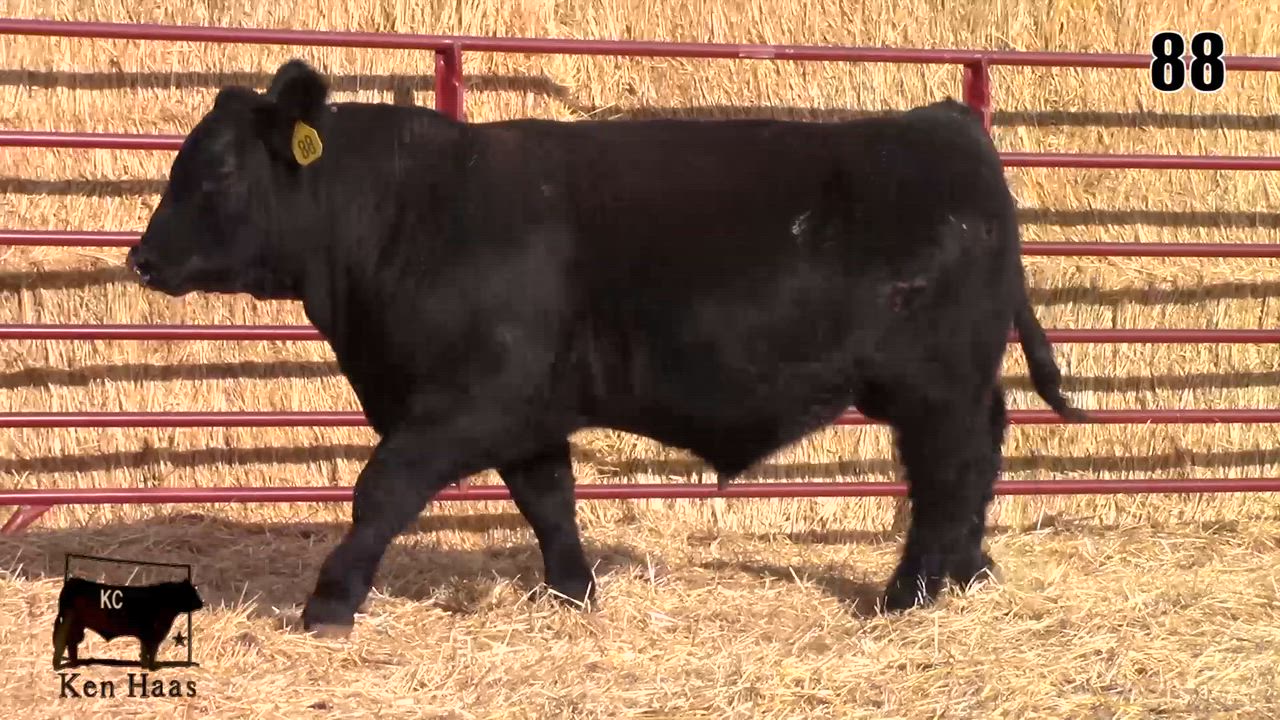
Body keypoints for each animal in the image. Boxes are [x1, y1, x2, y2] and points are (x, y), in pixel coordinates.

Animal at [52, 576, 204, 669]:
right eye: (192, 594)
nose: (201, 603)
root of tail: (73, 582)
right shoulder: (154, 634)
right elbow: (152, 651)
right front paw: (153, 667)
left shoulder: (146, 636)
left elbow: (144, 650)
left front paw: (144, 665)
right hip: (70, 625)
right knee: (63, 642)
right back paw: (60, 666)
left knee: (70, 644)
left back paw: (73, 664)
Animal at [124, 59, 1086, 638]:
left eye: (215, 172)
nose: (142, 258)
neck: (406, 215)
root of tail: (945, 119)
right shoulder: (526, 412)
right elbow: (550, 502)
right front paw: (573, 595)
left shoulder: (462, 404)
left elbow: (380, 492)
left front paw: (328, 605)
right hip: (952, 387)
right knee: (976, 464)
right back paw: (970, 573)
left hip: (935, 386)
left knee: (948, 475)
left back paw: (910, 594)